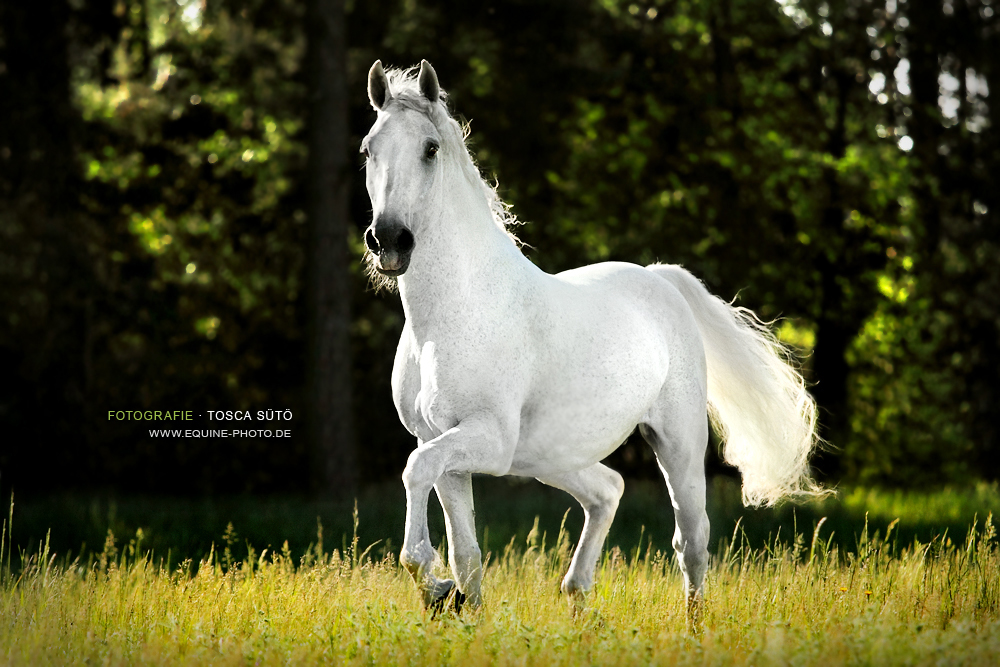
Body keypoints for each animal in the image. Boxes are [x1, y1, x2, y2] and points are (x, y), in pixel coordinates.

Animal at [360, 59, 824, 613]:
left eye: (430, 148)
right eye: (368, 149)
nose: (389, 240)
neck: (452, 315)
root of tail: (661, 279)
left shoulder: (487, 441)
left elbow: (414, 471)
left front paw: (430, 581)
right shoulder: (444, 447)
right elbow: (466, 555)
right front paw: (446, 594)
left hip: (678, 443)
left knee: (691, 543)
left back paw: (689, 623)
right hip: (554, 455)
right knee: (608, 490)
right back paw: (577, 591)